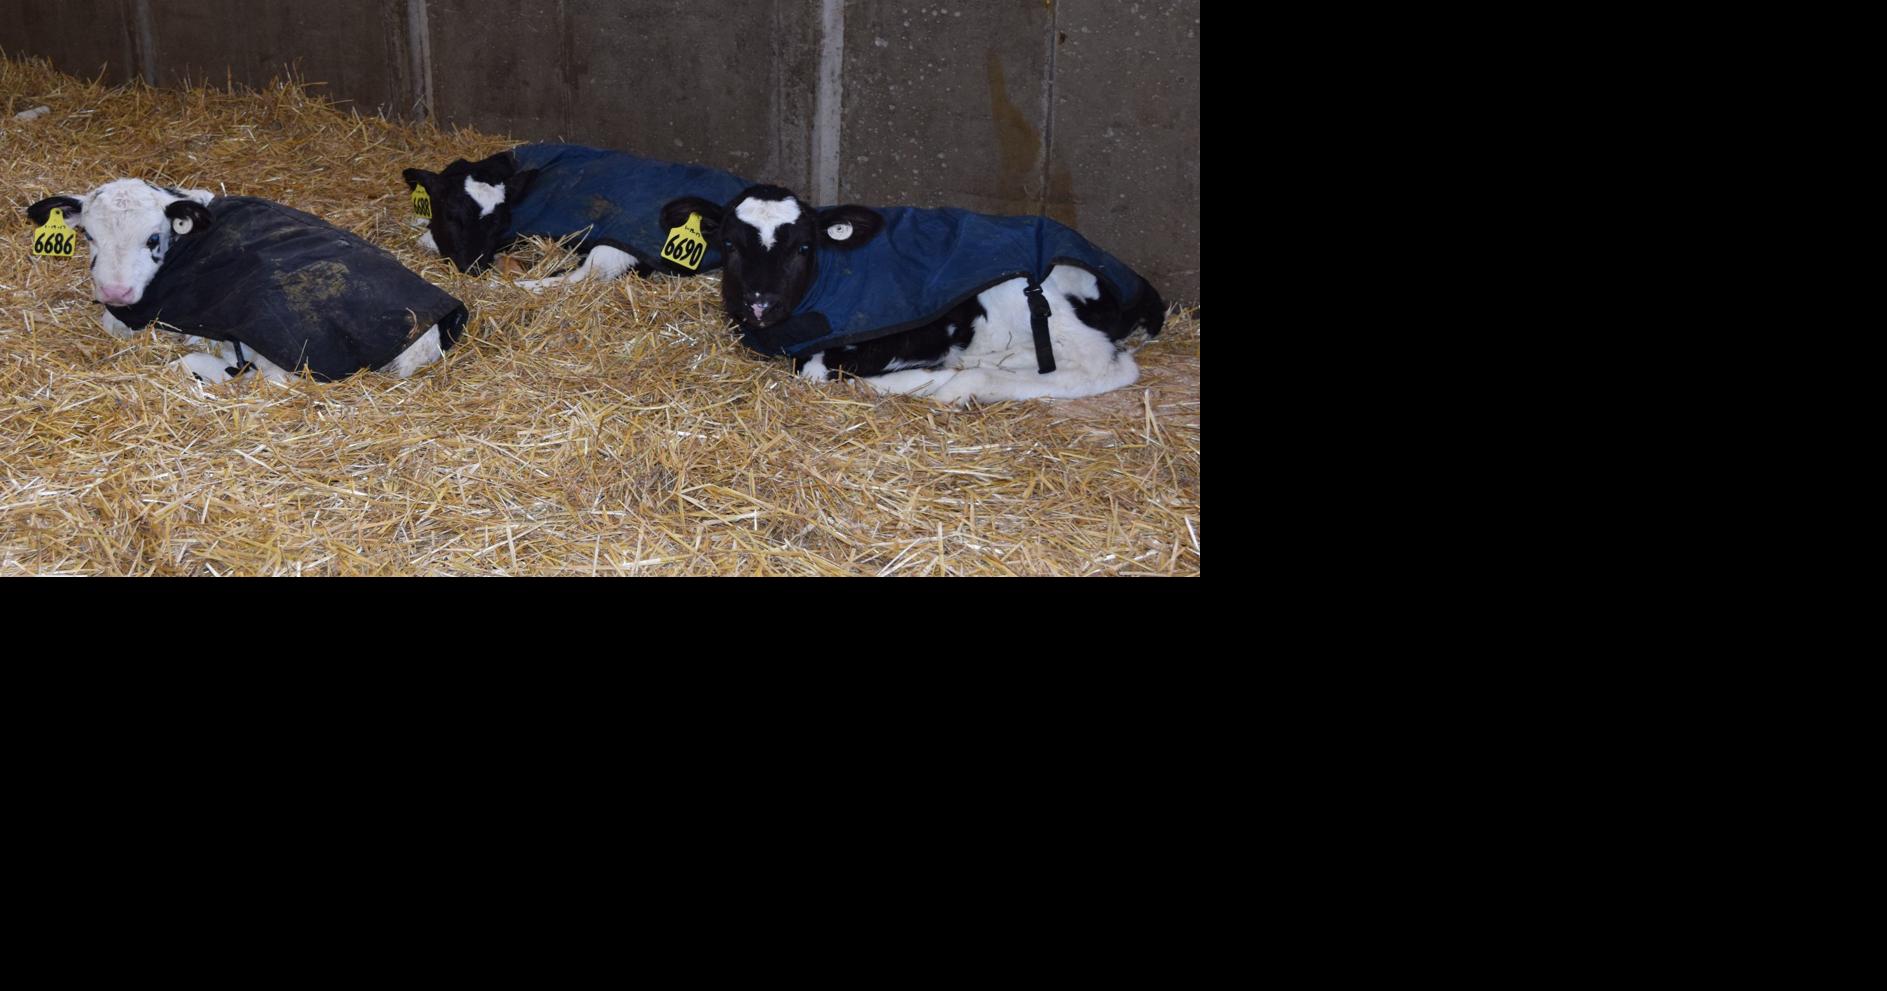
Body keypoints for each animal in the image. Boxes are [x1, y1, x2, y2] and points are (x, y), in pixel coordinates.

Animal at [401, 143, 751, 290]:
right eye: (452, 215)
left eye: (500, 223)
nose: (473, 267)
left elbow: (425, 239)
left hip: (615, 244)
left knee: (579, 278)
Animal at [658, 185, 1167, 404]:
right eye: (728, 245)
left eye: (804, 247)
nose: (760, 303)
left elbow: (822, 372)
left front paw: (909, 378)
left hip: (1033, 297)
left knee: (1108, 367)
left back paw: (957, 385)